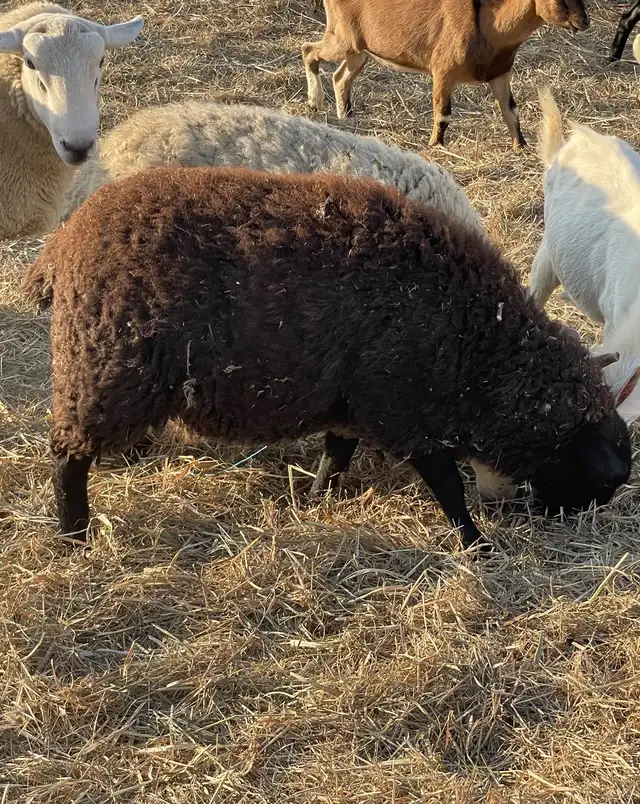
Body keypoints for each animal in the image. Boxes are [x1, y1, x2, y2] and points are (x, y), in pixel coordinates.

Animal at [23, 166, 632, 547]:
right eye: (601, 478)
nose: (560, 523)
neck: (478, 345)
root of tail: (61, 248)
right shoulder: (404, 412)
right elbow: (447, 486)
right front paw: (475, 544)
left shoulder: (350, 404)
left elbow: (336, 453)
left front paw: (315, 498)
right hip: (104, 371)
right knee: (67, 459)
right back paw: (74, 535)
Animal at [301, 0, 589, 151]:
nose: (584, 21)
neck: (488, 26)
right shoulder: (443, 70)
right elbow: (443, 113)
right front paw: (435, 145)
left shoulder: (500, 74)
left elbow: (511, 111)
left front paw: (521, 146)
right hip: (342, 38)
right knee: (308, 50)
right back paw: (314, 101)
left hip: (358, 51)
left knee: (341, 77)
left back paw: (346, 117)